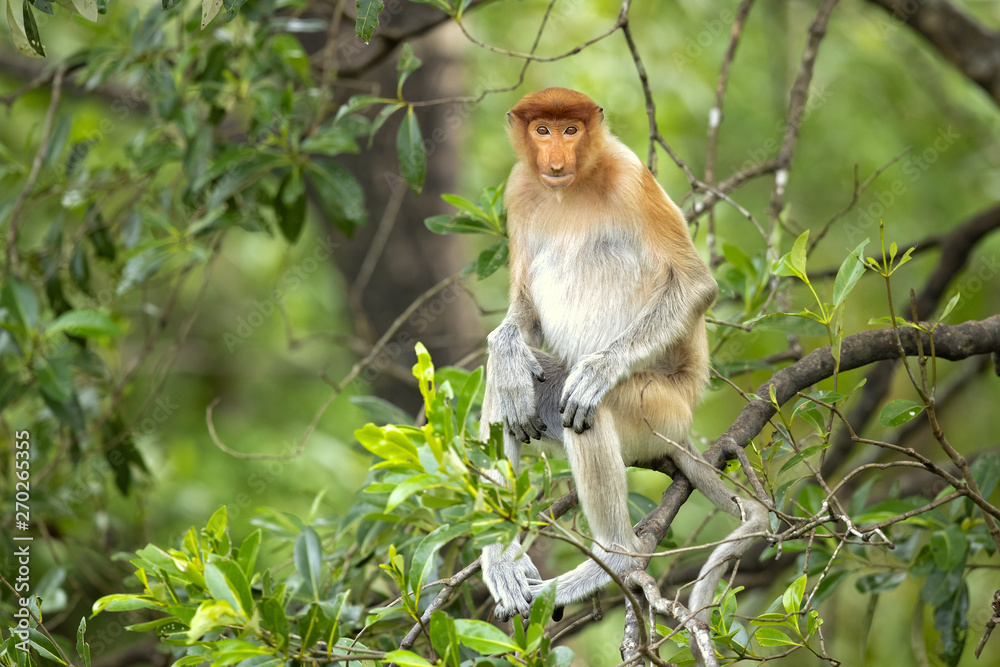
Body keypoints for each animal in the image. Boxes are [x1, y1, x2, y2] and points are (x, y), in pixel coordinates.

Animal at [478, 88, 769, 662]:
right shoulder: (520, 190)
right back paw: (502, 559)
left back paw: (617, 560)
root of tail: (683, 421)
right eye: (542, 130)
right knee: (508, 387)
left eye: (571, 130)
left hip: (656, 405)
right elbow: (523, 311)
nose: (556, 160)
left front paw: (597, 370)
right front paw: (504, 345)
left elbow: (695, 285)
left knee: (590, 413)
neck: (572, 191)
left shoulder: (631, 175)